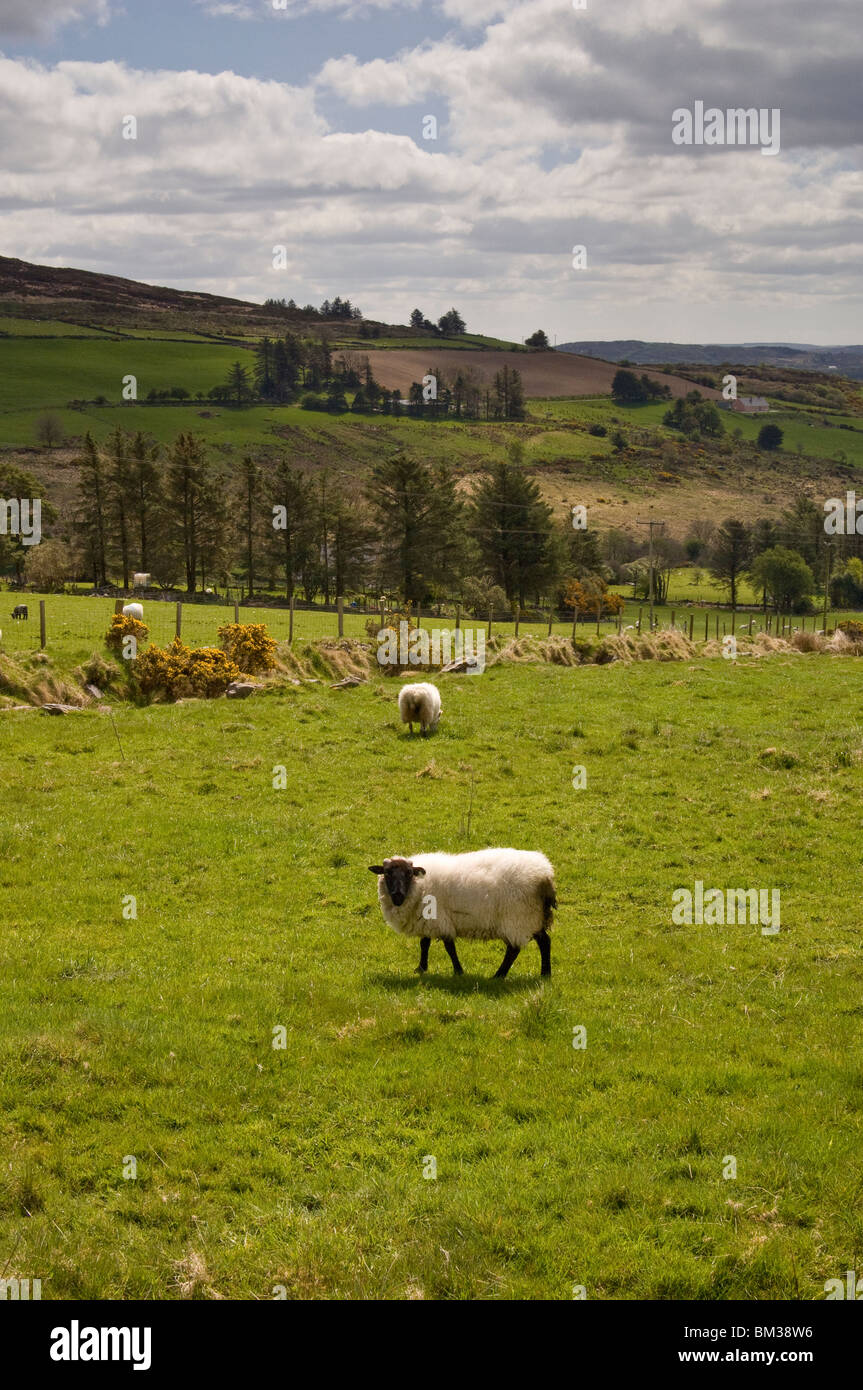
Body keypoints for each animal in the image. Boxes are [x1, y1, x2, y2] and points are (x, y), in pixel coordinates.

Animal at [368, 848, 557, 978]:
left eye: (408, 873)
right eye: (387, 873)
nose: (397, 895)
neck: (419, 886)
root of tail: (544, 874)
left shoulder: (440, 920)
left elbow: (449, 947)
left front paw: (458, 971)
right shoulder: (428, 919)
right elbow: (425, 943)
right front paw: (421, 968)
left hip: (518, 917)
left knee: (514, 949)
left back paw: (499, 975)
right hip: (533, 917)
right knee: (544, 941)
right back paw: (545, 974)